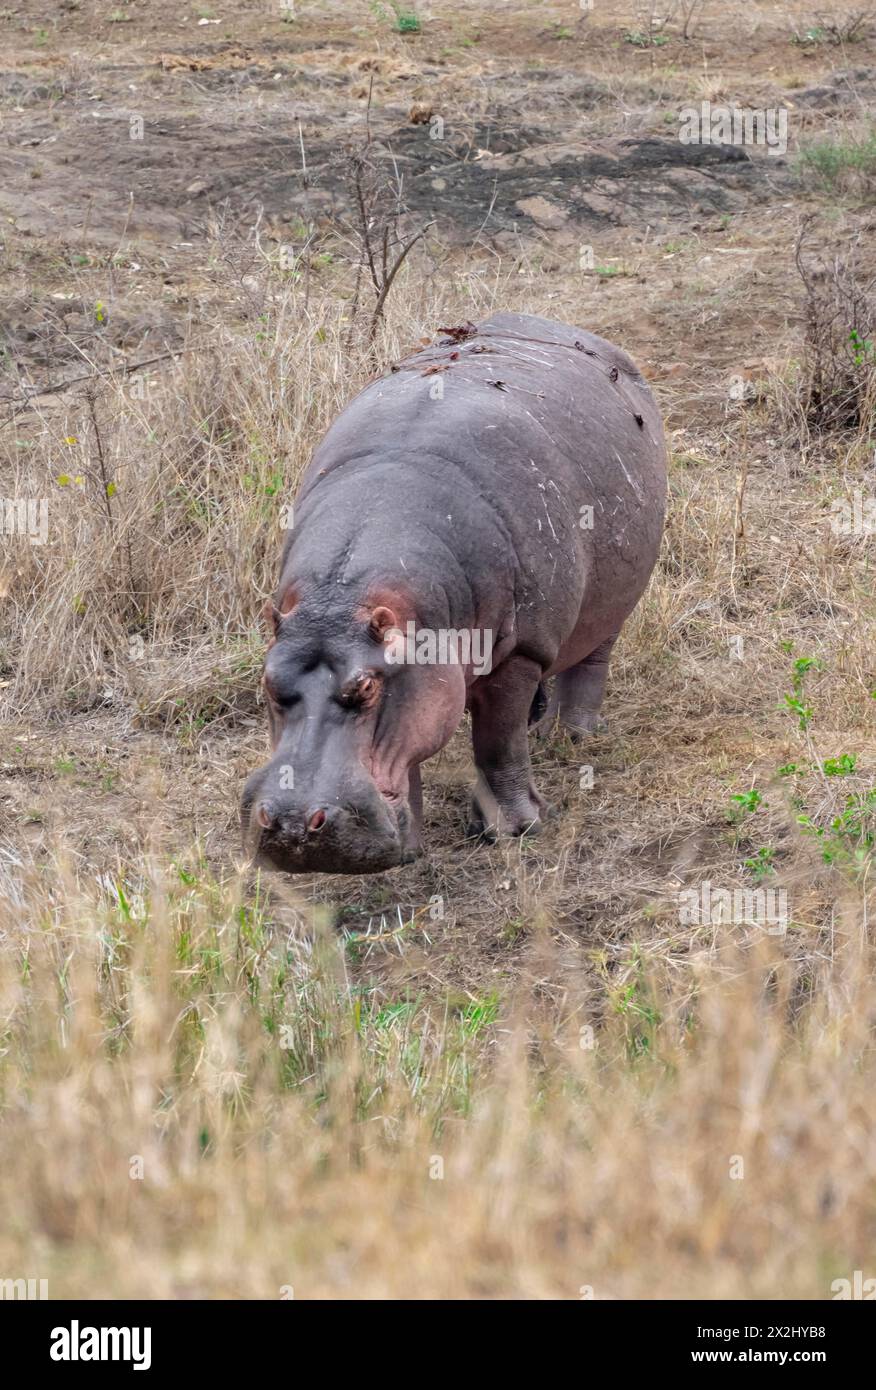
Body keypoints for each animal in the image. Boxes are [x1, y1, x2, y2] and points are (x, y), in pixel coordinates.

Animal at [241, 312, 666, 874]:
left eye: (366, 688)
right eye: (268, 681)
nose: (291, 825)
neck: (341, 596)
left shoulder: (520, 651)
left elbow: (498, 742)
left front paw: (514, 830)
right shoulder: (417, 675)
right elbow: (412, 755)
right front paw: (412, 849)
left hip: (611, 606)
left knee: (589, 664)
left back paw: (565, 736)